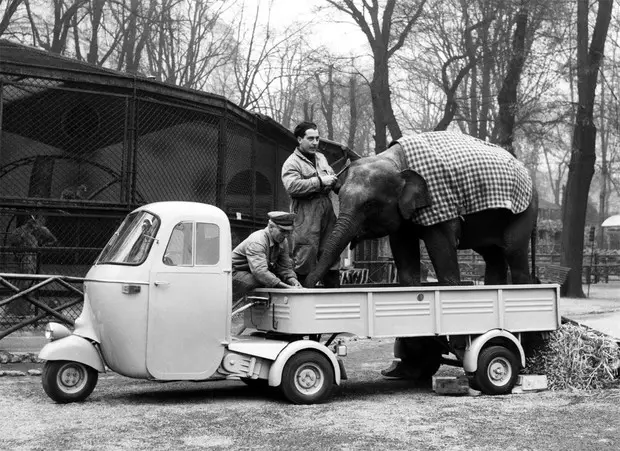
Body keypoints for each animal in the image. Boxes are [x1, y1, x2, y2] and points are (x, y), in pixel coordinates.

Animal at [304, 130, 536, 290]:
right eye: (339, 196)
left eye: (369, 204)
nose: (304, 287)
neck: (397, 160)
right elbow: (403, 253)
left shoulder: (439, 201)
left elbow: (441, 250)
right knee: (493, 255)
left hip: (524, 210)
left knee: (513, 251)